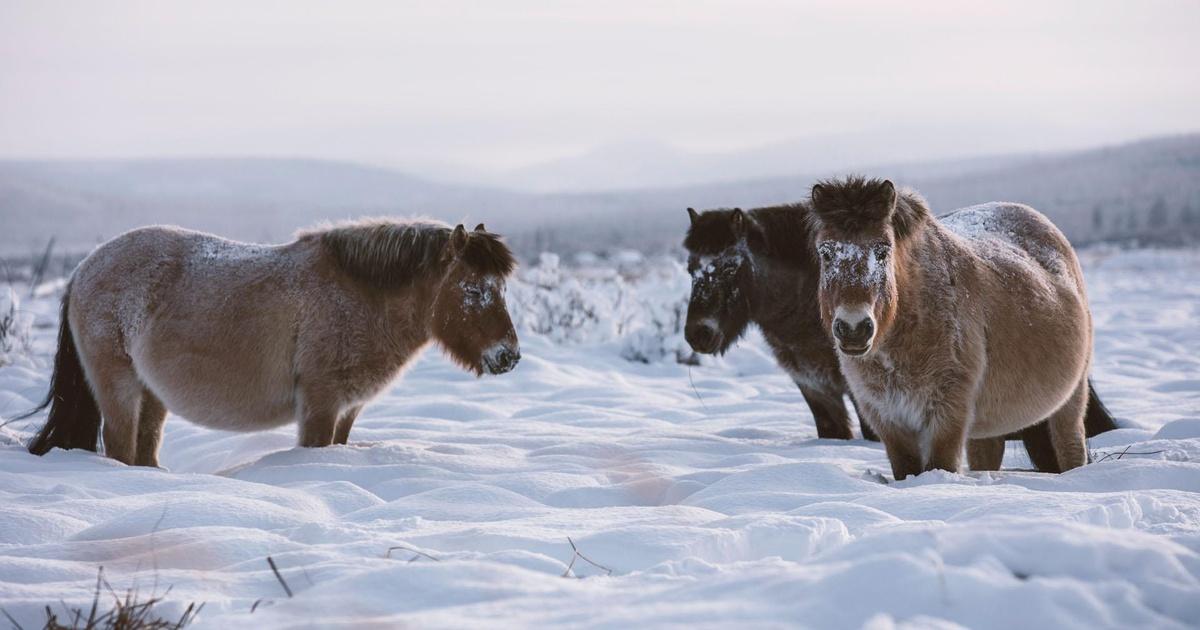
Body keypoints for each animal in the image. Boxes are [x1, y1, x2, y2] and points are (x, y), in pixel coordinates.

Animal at [21, 219, 520, 467]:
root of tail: (85, 268)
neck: (362, 295)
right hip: (118, 387)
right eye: (474, 289)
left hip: (151, 394)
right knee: (121, 446)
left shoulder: (346, 411)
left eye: (500, 287)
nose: (508, 356)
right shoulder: (320, 404)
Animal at [808, 176, 1099, 479]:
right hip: (984, 433)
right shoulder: (888, 420)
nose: (854, 328)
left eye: (883, 250)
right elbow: (906, 469)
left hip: (1071, 401)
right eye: (825, 252)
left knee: (1070, 448)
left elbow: (940, 465)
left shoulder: (947, 416)